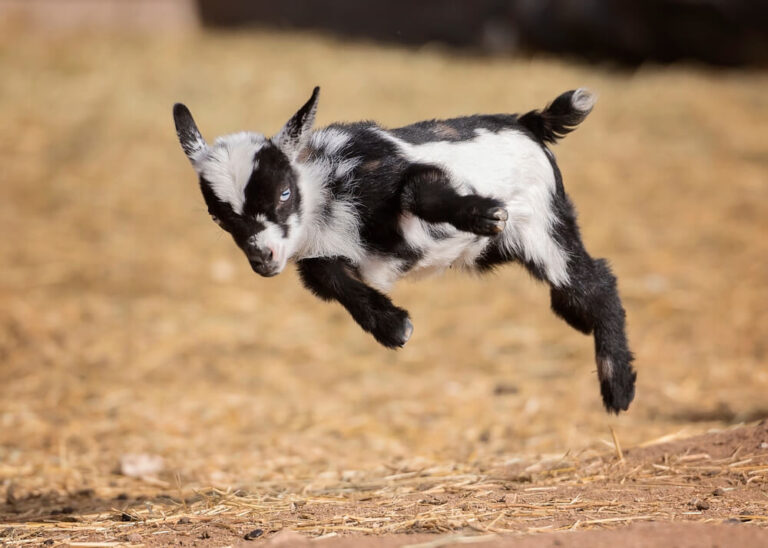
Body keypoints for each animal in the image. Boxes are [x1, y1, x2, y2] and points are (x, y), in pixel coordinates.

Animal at [172, 87, 636, 412]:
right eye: (219, 217)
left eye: (284, 193)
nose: (262, 259)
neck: (324, 190)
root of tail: (526, 122)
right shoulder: (322, 256)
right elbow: (331, 280)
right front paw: (393, 327)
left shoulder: (394, 173)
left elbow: (419, 189)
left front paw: (482, 213)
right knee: (572, 295)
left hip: (543, 226)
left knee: (597, 283)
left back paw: (619, 388)